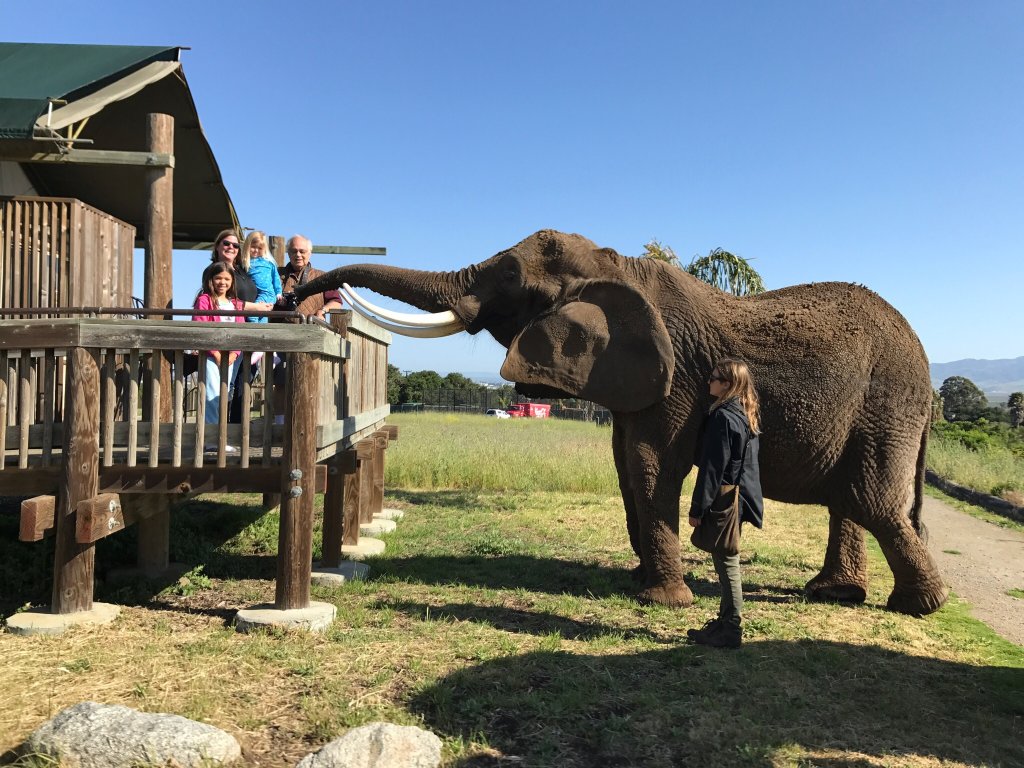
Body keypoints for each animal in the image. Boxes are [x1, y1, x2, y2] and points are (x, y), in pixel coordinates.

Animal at [292, 229, 949, 616]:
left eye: (511, 278)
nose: (299, 294)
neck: (621, 267)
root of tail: (926, 364)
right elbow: (626, 464)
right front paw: (642, 580)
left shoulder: (678, 372)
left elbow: (650, 463)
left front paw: (665, 601)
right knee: (852, 500)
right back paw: (836, 595)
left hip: (887, 404)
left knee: (871, 501)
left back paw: (920, 607)